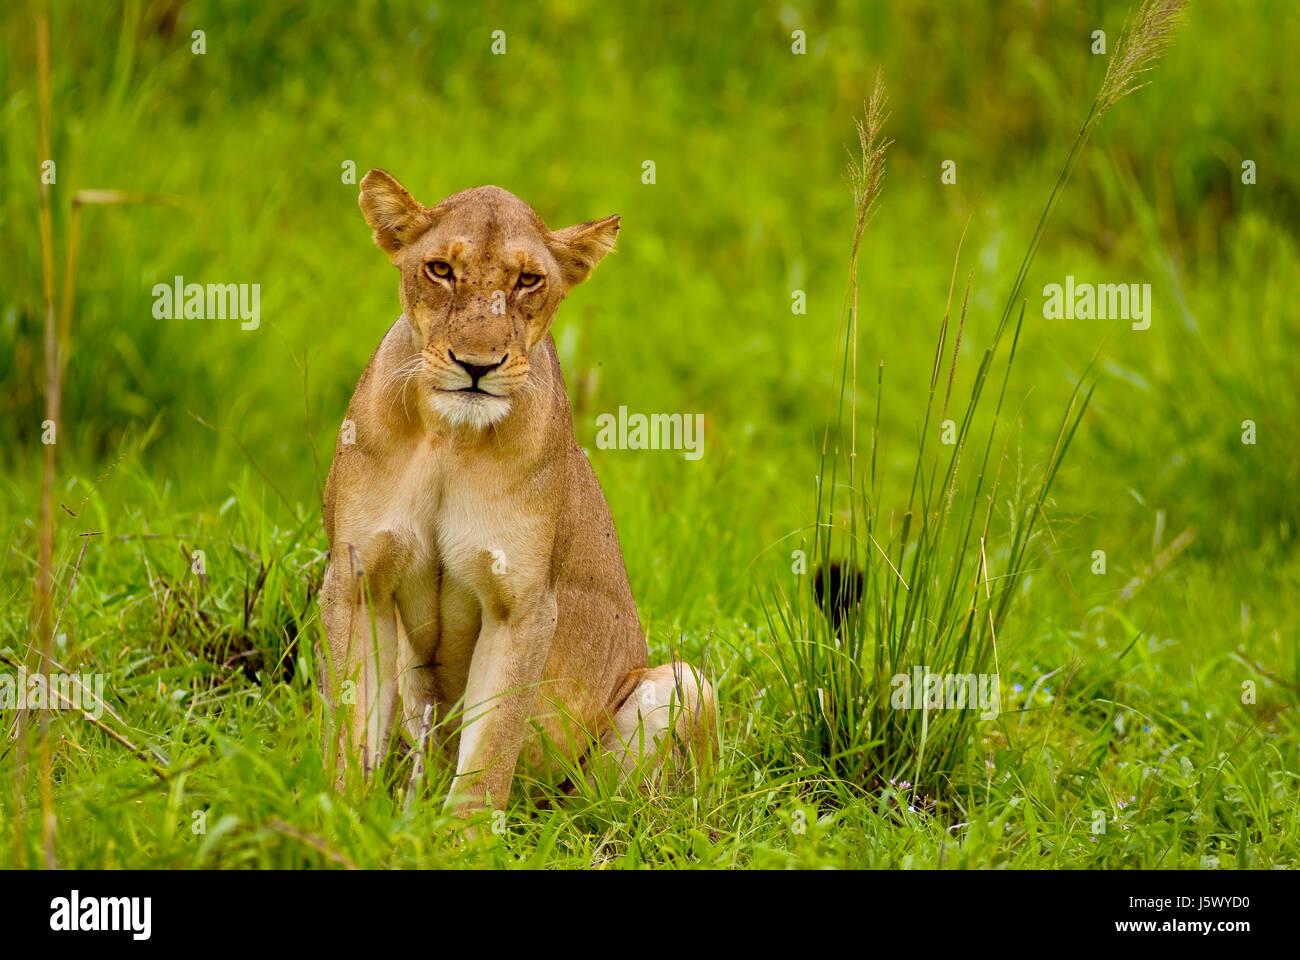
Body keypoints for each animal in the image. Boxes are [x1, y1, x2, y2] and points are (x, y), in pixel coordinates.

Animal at [320, 169, 714, 815]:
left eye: (529, 280)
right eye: (440, 269)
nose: (477, 365)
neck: (448, 440)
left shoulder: (523, 602)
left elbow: (492, 746)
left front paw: (464, 833)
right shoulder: (358, 580)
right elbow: (348, 728)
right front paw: (340, 813)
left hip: (685, 687)